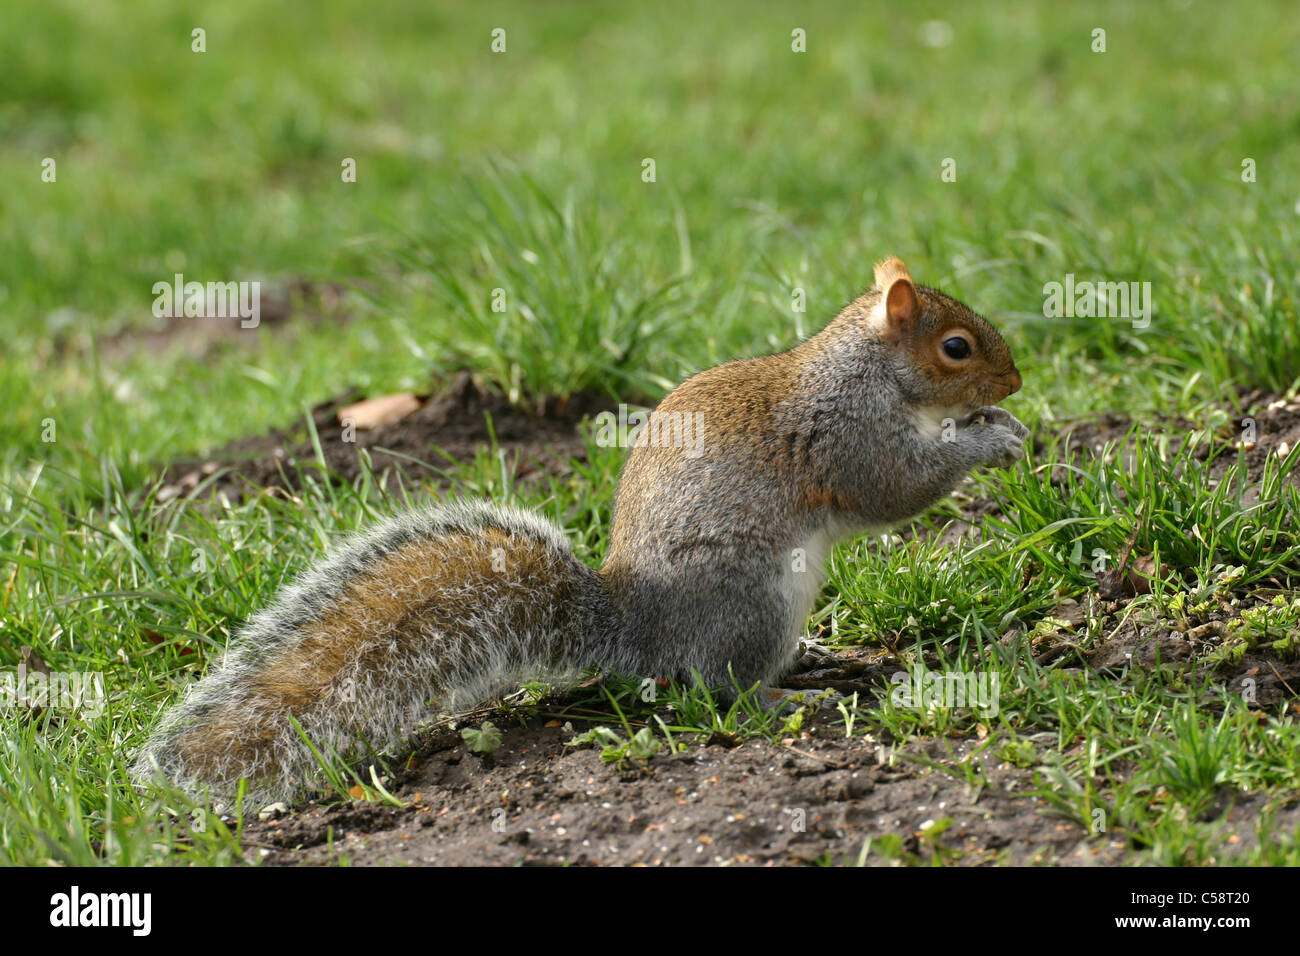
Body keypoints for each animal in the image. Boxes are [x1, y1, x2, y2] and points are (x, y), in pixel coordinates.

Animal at [133, 256, 1028, 805]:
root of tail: (637, 626)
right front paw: (988, 438)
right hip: (754, 598)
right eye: (956, 347)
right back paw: (784, 696)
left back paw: (819, 660)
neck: (868, 371)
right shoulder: (849, 436)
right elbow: (895, 489)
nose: (1017, 380)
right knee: (717, 686)